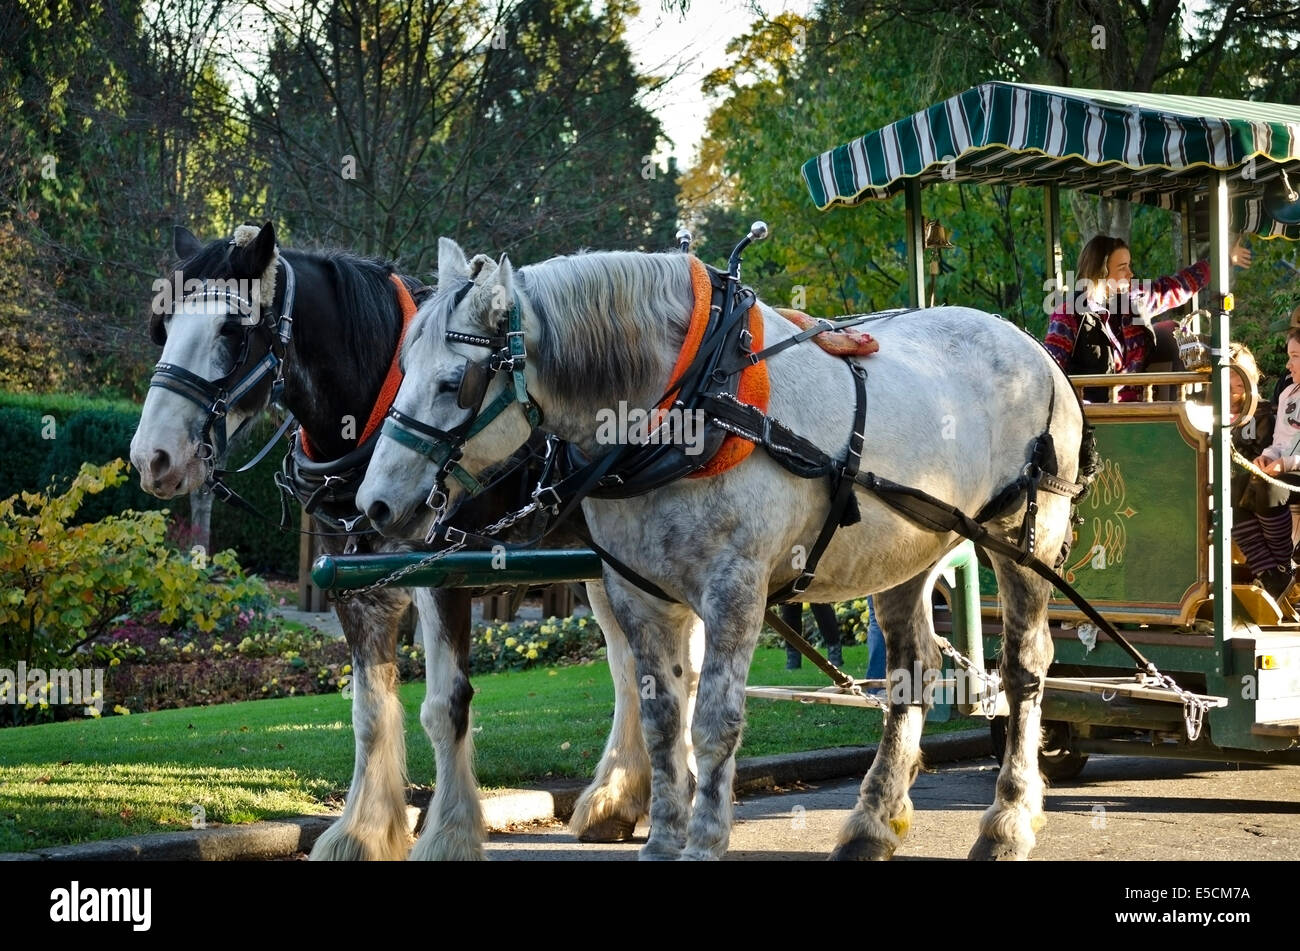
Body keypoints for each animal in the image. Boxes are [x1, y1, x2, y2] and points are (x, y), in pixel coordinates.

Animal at [128, 223, 700, 859]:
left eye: (231, 330)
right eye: (162, 327)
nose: (152, 457)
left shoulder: (444, 574)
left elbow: (444, 705)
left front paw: (448, 835)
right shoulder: (356, 588)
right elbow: (369, 711)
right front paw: (361, 831)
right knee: (630, 668)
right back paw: (618, 799)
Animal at [356, 236, 1089, 860]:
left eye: (453, 383)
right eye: (401, 368)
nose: (376, 503)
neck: (688, 399)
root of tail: (1028, 343)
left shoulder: (734, 587)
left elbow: (712, 722)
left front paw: (704, 841)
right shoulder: (639, 592)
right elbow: (660, 718)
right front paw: (661, 839)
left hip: (1026, 538)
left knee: (1025, 670)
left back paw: (1008, 820)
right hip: (905, 551)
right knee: (913, 669)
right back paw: (872, 822)